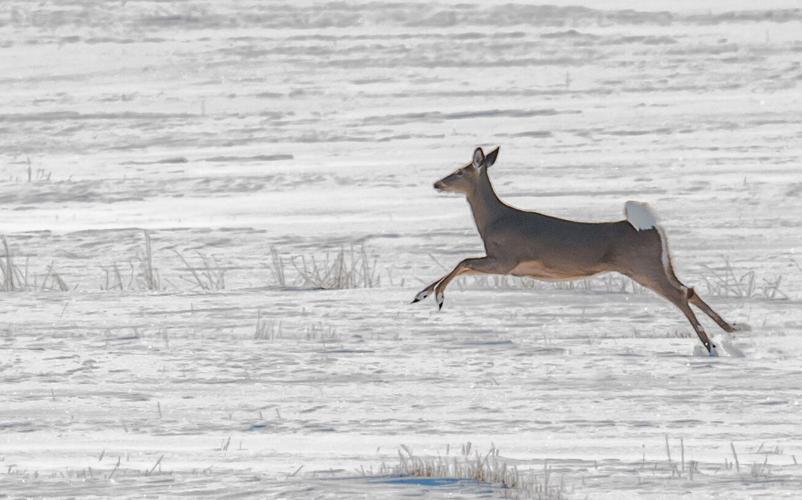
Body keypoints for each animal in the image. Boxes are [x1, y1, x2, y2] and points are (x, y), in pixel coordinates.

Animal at [411, 146, 742, 356]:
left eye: (458, 171)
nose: (436, 183)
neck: (494, 220)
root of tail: (653, 229)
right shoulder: (504, 263)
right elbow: (460, 263)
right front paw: (421, 294)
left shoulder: (507, 260)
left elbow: (462, 261)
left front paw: (437, 297)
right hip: (663, 263)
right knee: (689, 289)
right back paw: (734, 330)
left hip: (643, 268)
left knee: (679, 295)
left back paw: (711, 346)